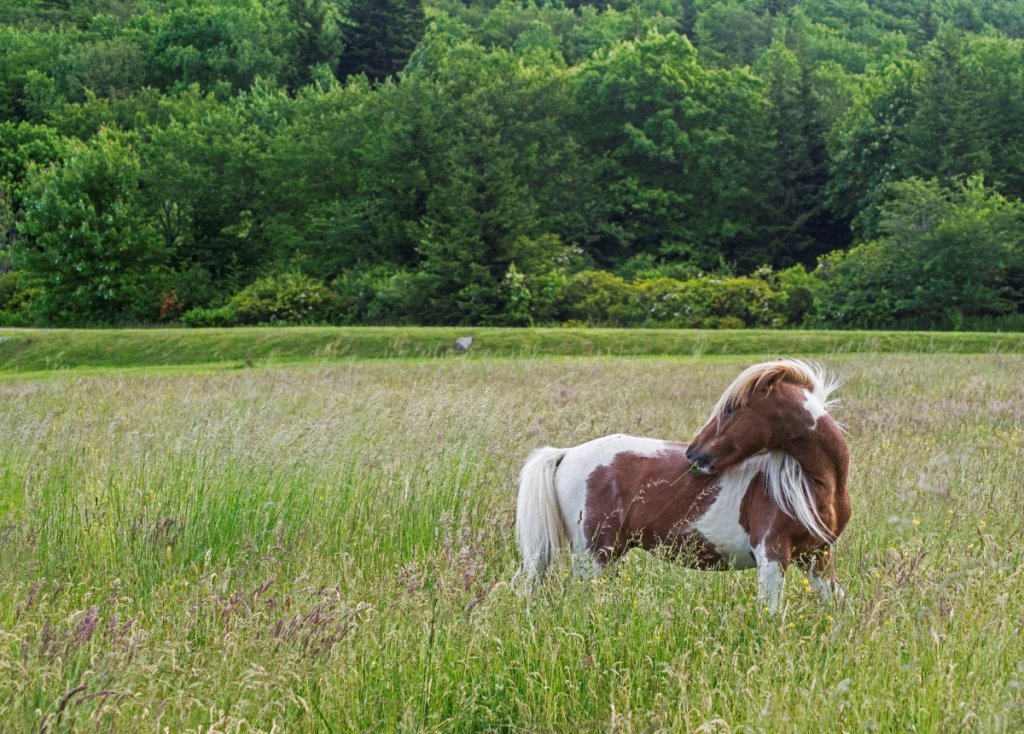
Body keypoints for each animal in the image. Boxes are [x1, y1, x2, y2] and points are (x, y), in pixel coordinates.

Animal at [514, 359, 850, 612]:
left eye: (731, 409)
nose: (693, 453)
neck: (816, 487)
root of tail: (566, 454)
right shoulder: (772, 555)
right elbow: (771, 612)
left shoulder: (817, 555)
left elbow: (836, 601)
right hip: (595, 555)